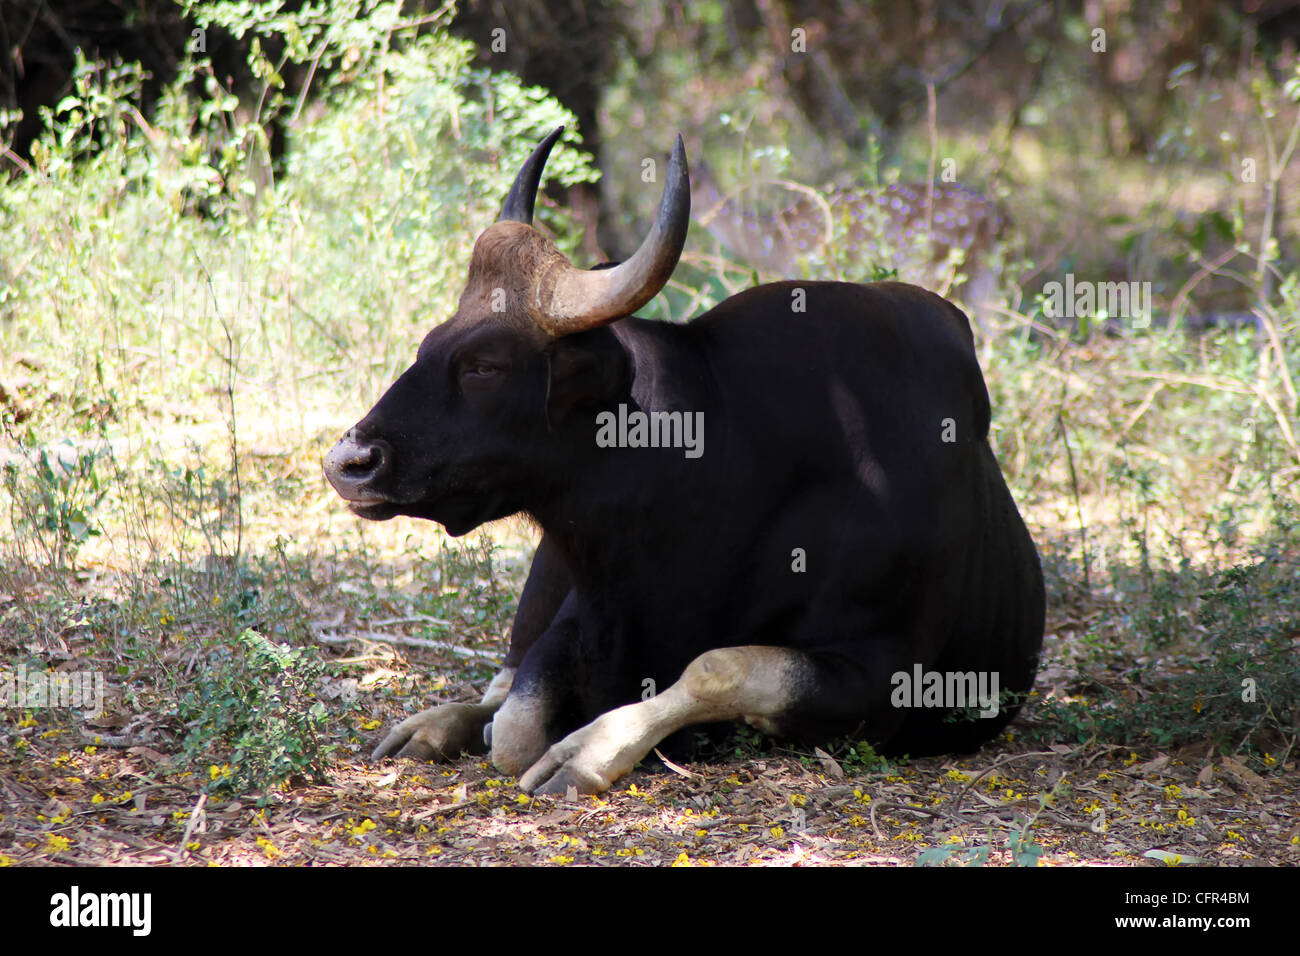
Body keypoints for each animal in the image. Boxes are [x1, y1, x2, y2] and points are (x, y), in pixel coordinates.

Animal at [323, 127, 1045, 794]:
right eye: (430, 344)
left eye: (484, 365)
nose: (350, 461)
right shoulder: (582, 610)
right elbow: (517, 721)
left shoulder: (887, 672)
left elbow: (718, 665)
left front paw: (588, 751)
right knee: (499, 690)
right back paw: (433, 726)